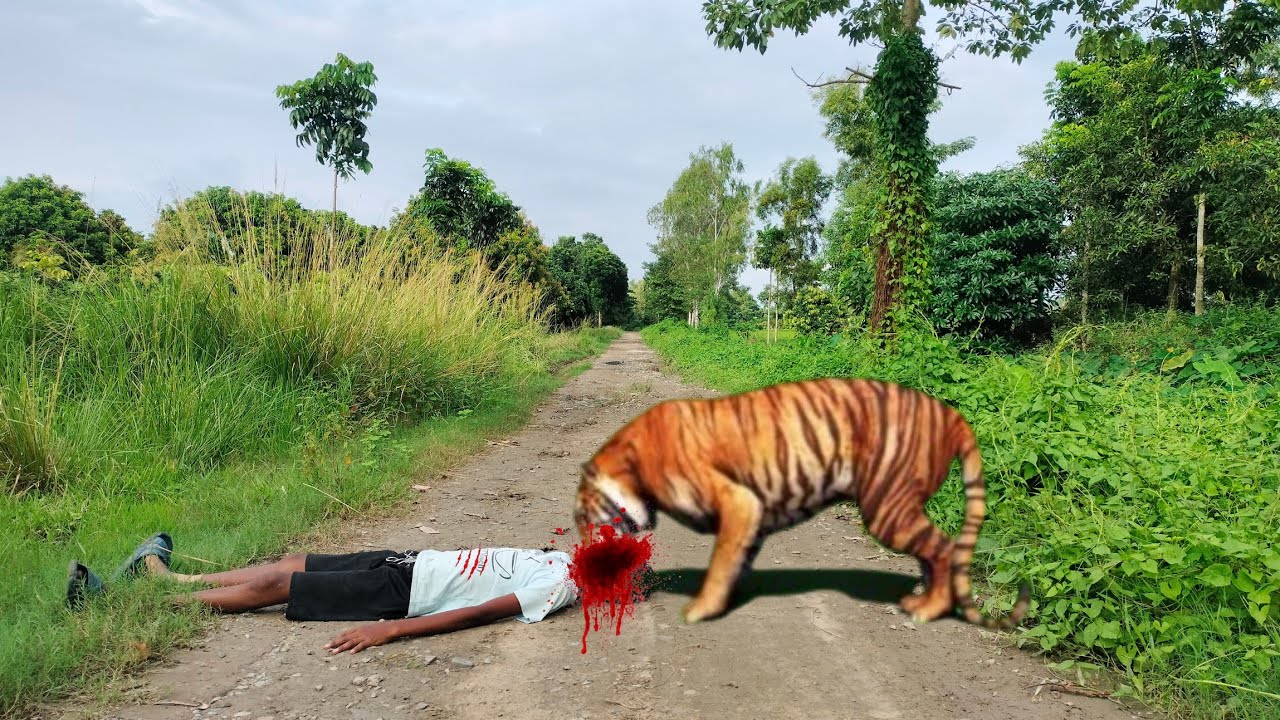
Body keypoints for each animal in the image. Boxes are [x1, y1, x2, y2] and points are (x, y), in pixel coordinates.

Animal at [574, 377, 1030, 628]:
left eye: (582, 516)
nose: (581, 552)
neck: (630, 466)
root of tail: (950, 414)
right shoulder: (754, 512)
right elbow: (736, 559)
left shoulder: (739, 501)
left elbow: (720, 562)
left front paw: (701, 608)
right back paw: (919, 596)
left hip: (887, 505)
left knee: (944, 548)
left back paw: (928, 609)